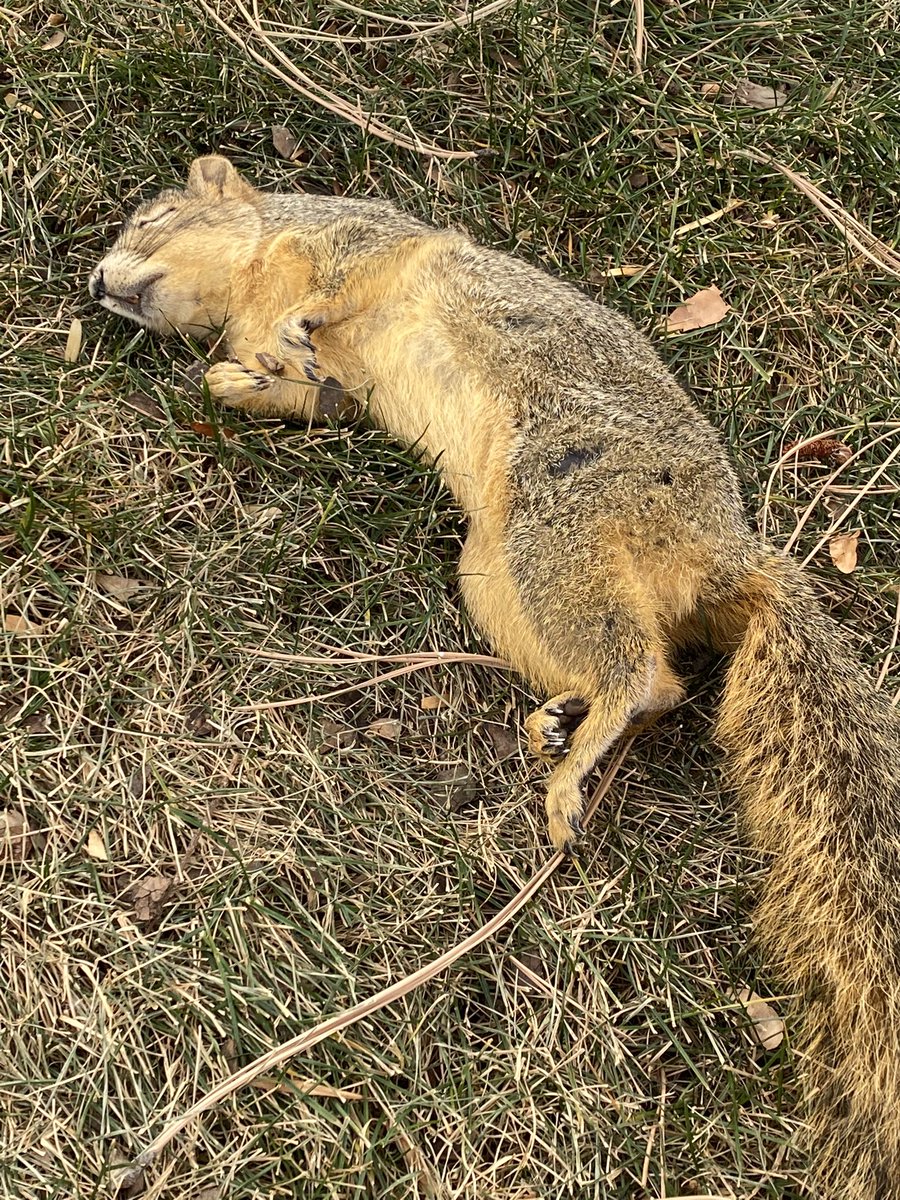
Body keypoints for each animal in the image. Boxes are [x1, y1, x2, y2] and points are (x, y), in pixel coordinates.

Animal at [90, 154, 900, 1199]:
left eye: (152, 216)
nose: (100, 282)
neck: (250, 279)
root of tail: (723, 562)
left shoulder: (365, 242)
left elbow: (343, 282)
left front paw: (290, 331)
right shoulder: (339, 384)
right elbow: (320, 397)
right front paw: (238, 379)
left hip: (556, 524)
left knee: (643, 674)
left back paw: (571, 769)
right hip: (497, 574)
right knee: (657, 682)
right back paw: (560, 719)